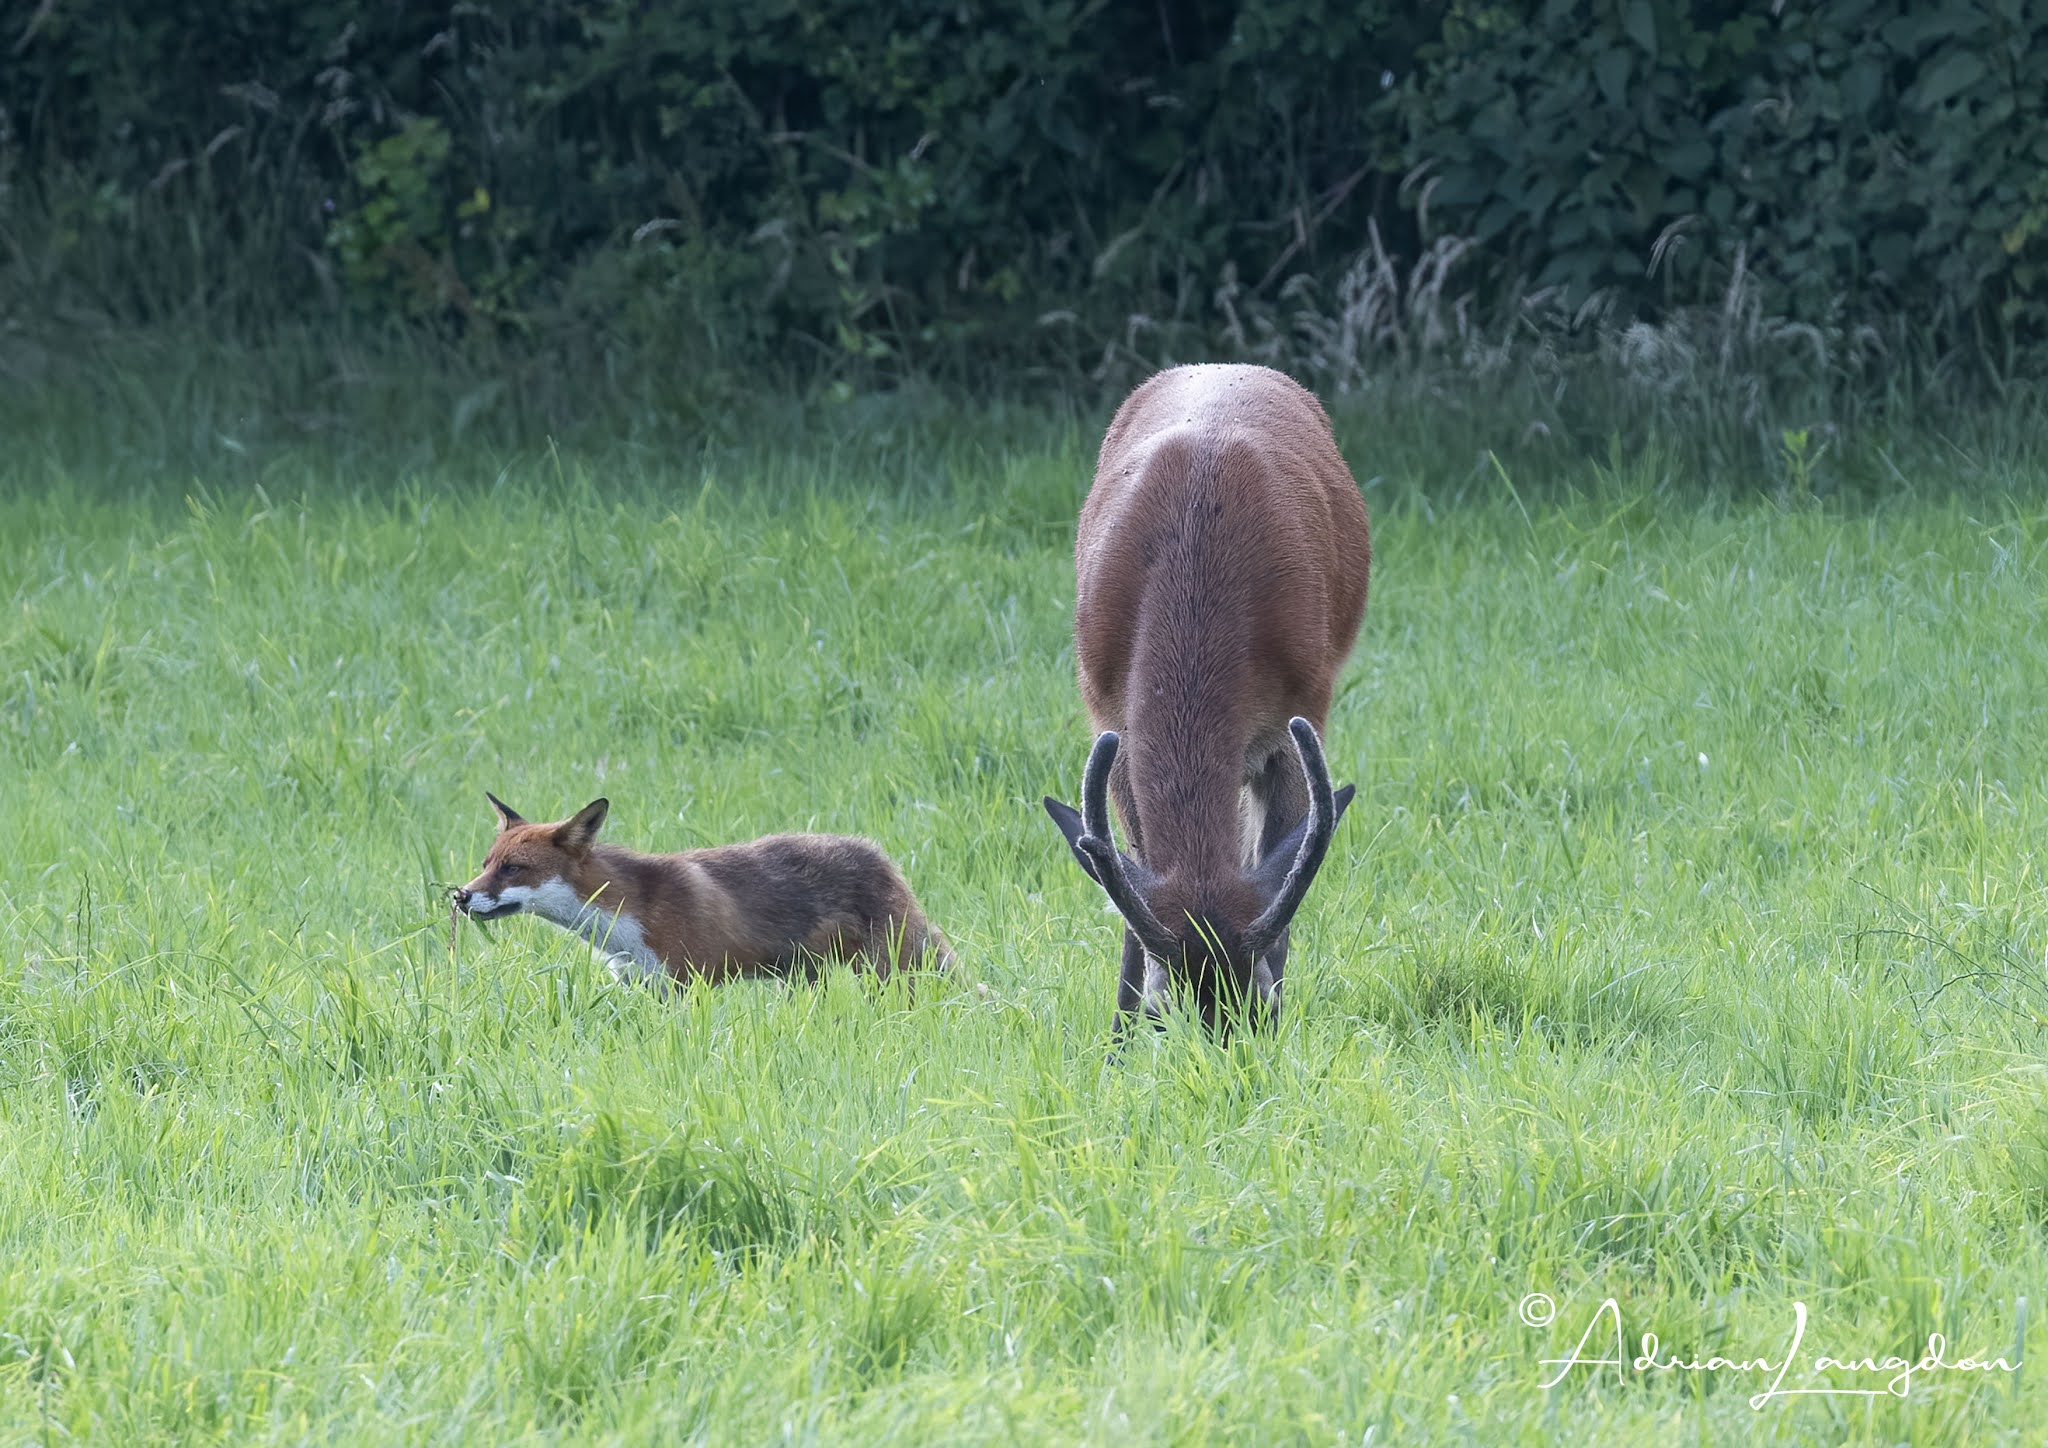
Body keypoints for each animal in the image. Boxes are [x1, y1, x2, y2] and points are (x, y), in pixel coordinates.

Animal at [452, 794, 952, 990]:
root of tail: (877, 852)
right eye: (486, 865)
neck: (627, 917)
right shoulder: (637, 986)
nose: (461, 896)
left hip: (891, 971)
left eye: (513, 869)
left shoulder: (689, 983)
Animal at [1042, 364, 1370, 1037]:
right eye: (1166, 1013)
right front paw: (1116, 1040)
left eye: (1262, 1008)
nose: (1229, 1055)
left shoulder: (1303, 708)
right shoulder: (1112, 718)